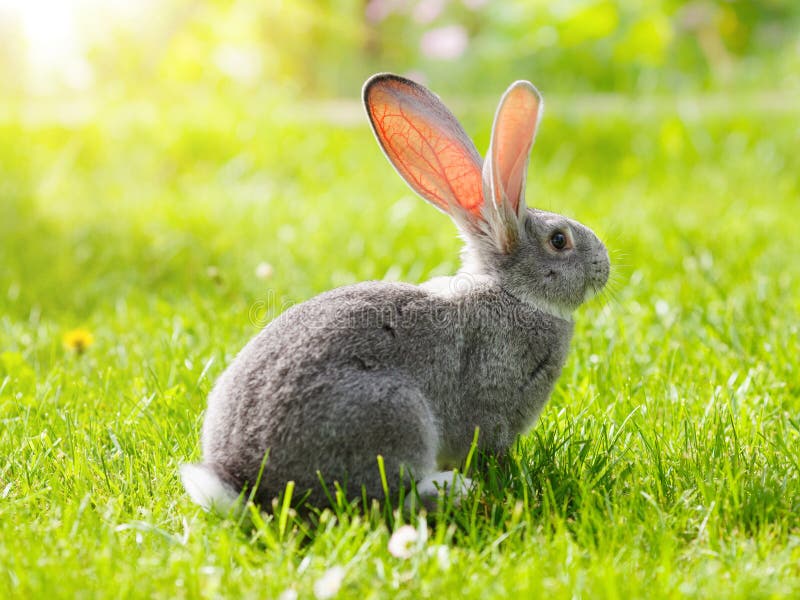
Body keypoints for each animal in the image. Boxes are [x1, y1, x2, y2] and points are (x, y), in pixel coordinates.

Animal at [181, 73, 610, 513]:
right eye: (559, 240)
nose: (604, 266)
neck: (511, 291)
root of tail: (246, 482)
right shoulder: (496, 396)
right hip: (395, 413)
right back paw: (452, 490)